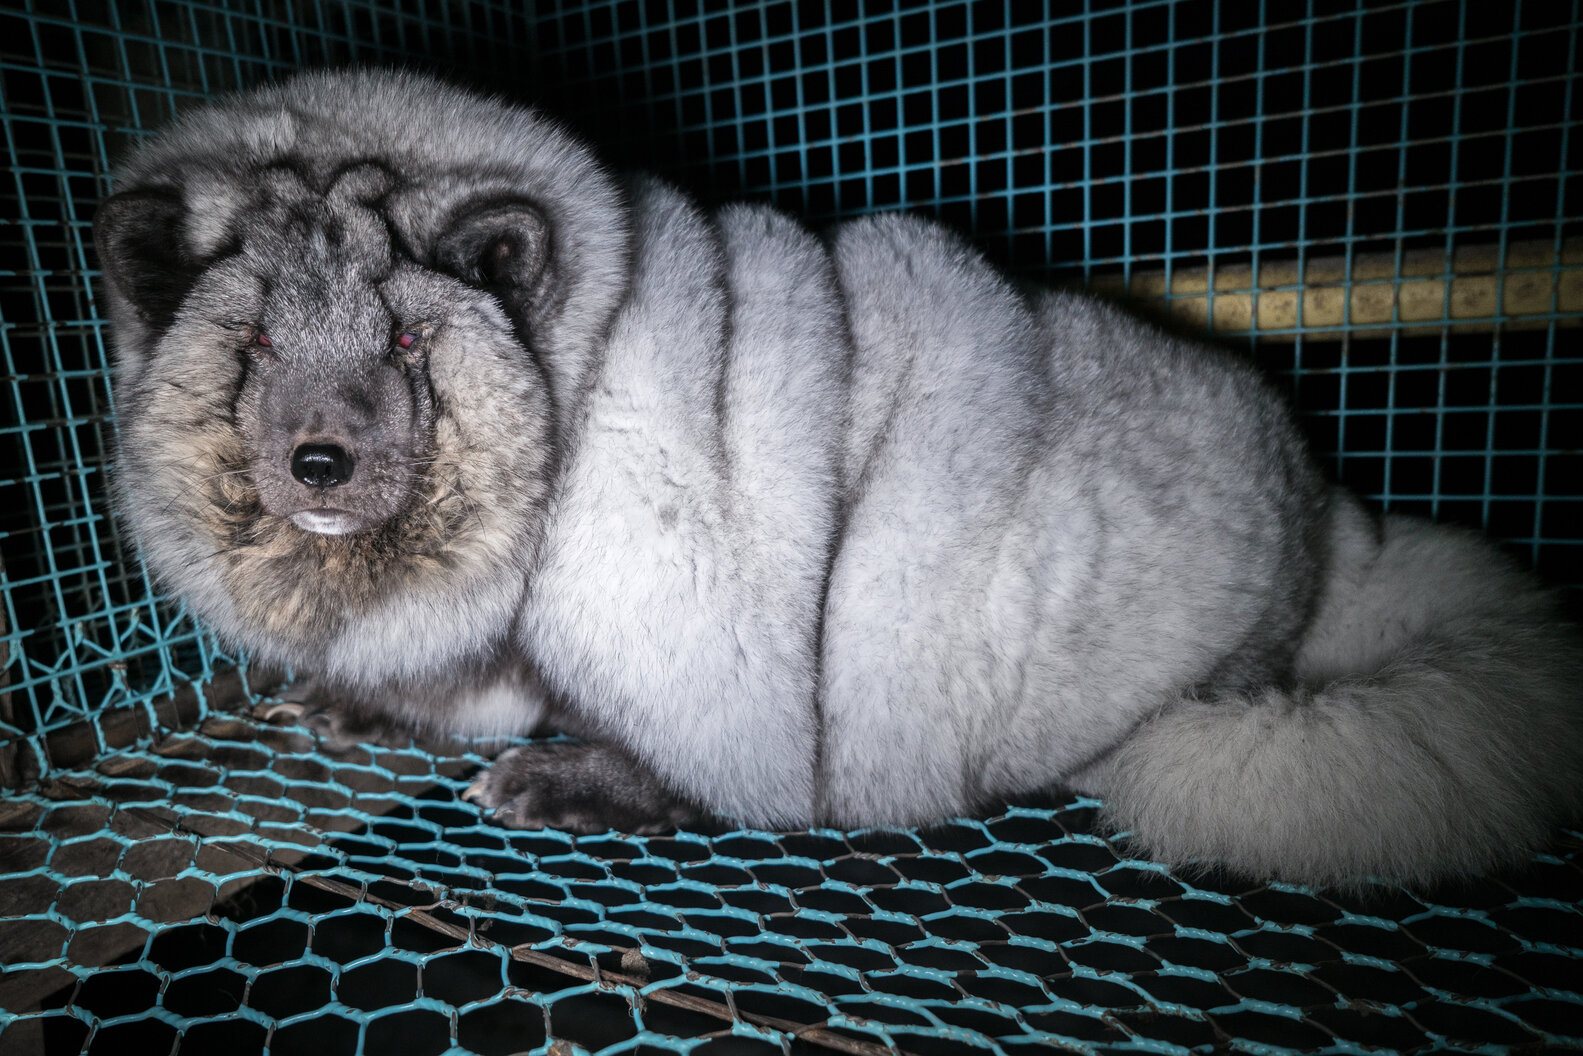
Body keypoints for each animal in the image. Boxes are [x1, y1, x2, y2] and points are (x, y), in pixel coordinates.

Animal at [94, 69, 1583, 887]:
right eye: (256, 341)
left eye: (406, 339)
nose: (321, 458)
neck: (569, 387)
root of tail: (1330, 512)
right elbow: (472, 692)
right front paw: (360, 706)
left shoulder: (665, 591)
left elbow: (702, 757)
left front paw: (582, 786)